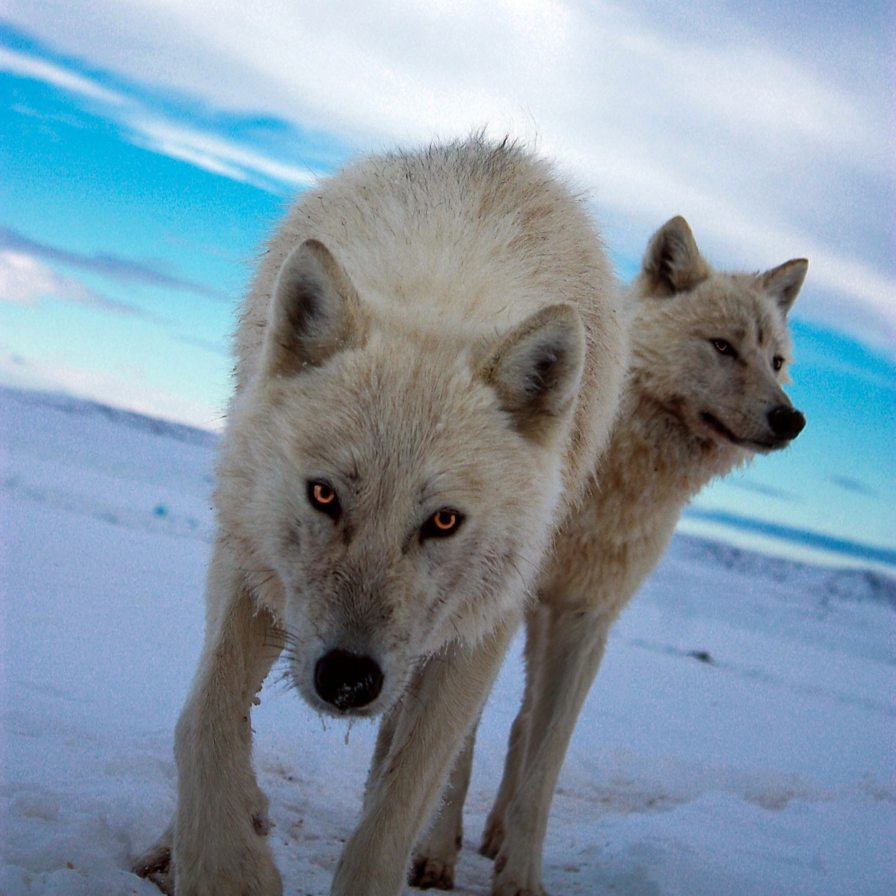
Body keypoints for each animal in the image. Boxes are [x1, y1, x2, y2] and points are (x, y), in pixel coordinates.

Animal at [131, 138, 627, 896]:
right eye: (324, 495)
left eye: (444, 522)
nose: (347, 680)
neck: (446, 284)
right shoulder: (250, 562)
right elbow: (205, 721)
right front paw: (225, 862)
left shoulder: (480, 629)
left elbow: (399, 802)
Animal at [411, 215, 807, 896]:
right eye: (723, 347)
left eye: (776, 361)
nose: (792, 419)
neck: (610, 480)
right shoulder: (493, 601)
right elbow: (456, 743)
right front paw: (436, 852)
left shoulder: (588, 621)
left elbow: (547, 763)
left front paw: (521, 875)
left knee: (525, 724)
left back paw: (498, 835)